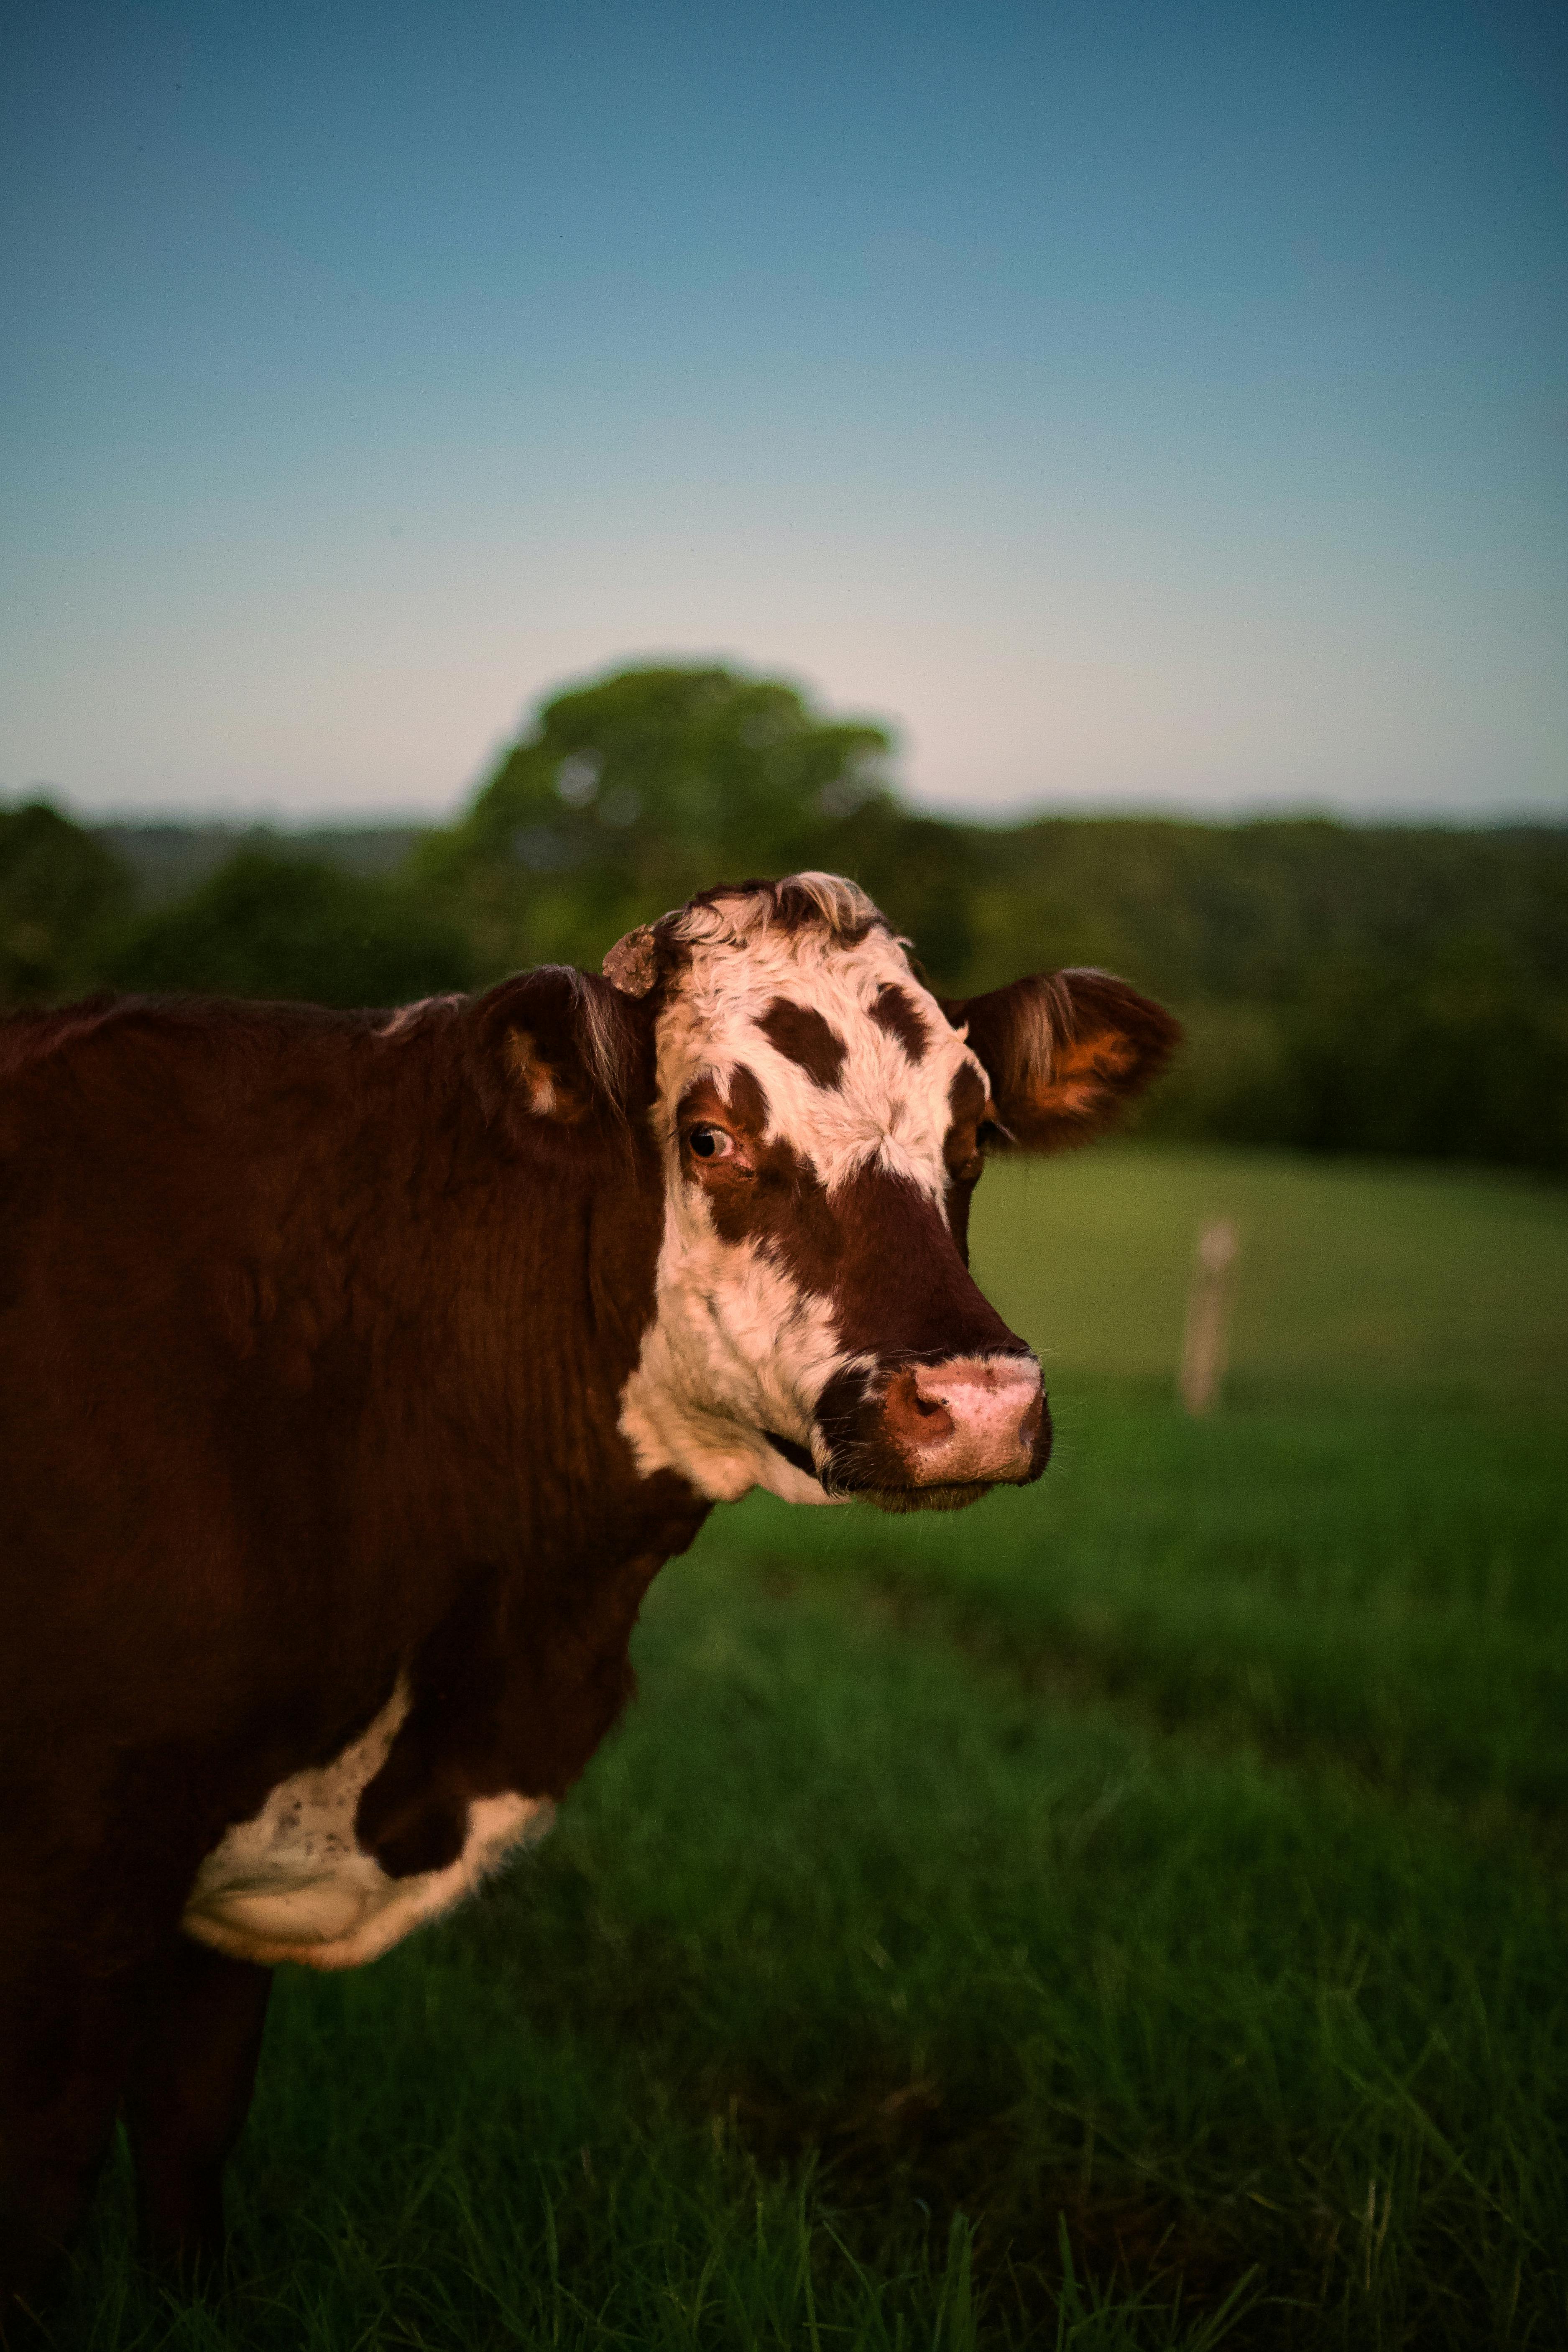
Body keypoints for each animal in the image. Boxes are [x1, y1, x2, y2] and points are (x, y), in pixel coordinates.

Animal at [0, 871, 1177, 2316]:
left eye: (970, 1135)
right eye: (710, 1135)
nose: (974, 1405)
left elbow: (188, 2126)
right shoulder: (74, 1866)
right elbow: (43, 2182)